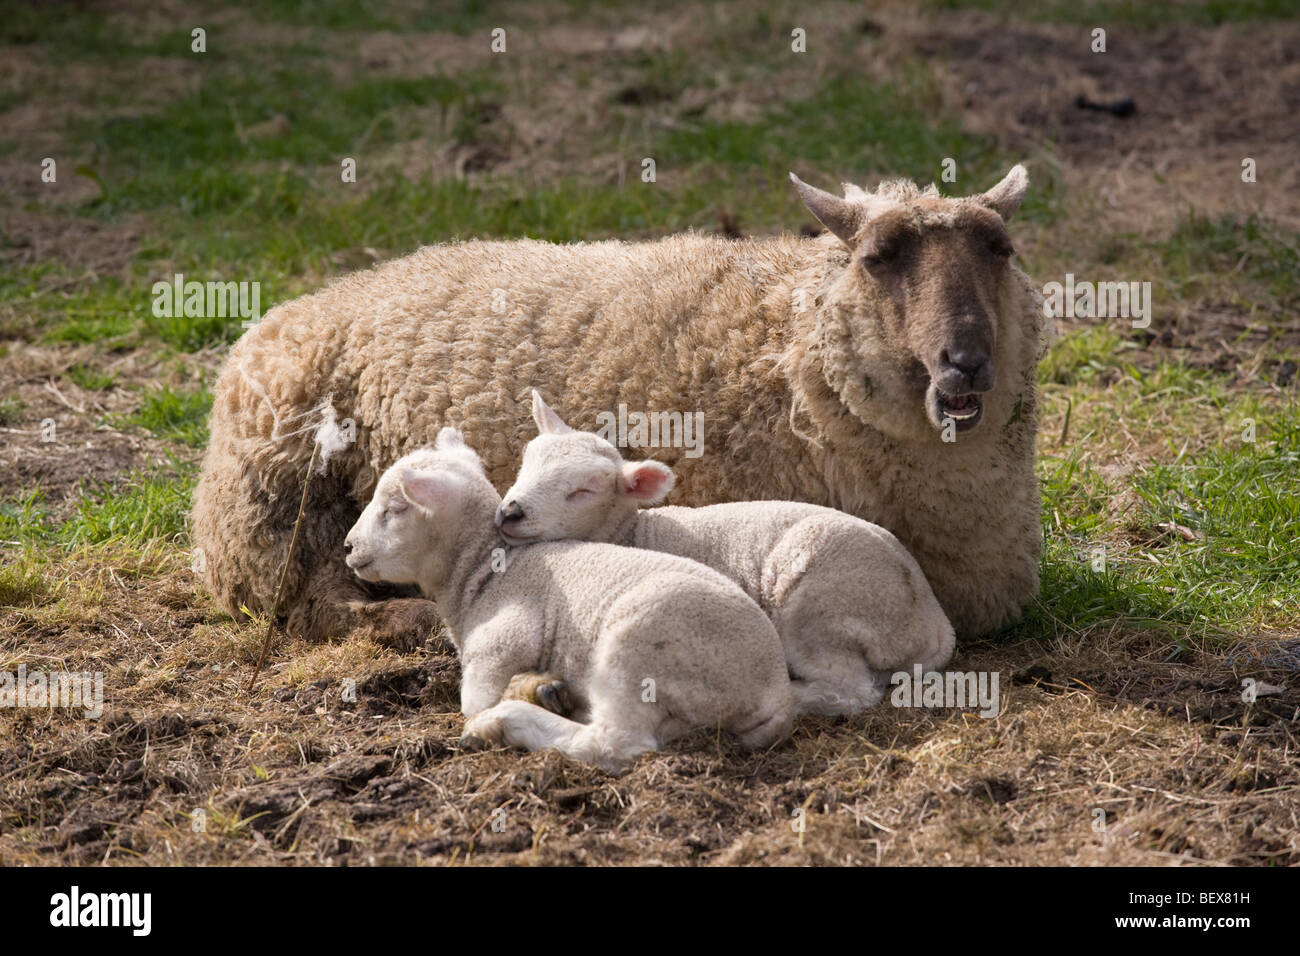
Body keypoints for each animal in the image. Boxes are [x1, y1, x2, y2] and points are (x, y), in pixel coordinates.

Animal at [192, 165, 1044, 648]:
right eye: (876, 258)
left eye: (1001, 250)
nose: (965, 364)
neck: (783, 346)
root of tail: (280, 315)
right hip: (278, 509)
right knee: (317, 603)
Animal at [342, 427, 794, 772]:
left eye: (395, 508)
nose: (347, 546)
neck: (481, 570)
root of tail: (775, 692)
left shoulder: (502, 643)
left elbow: (475, 699)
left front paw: (521, 696)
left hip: (640, 644)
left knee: (616, 742)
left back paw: (507, 721)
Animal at [495, 391, 955, 715]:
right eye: (526, 462)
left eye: (583, 491)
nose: (510, 512)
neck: (634, 533)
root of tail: (935, 622)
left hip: (820, 607)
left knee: (850, 690)